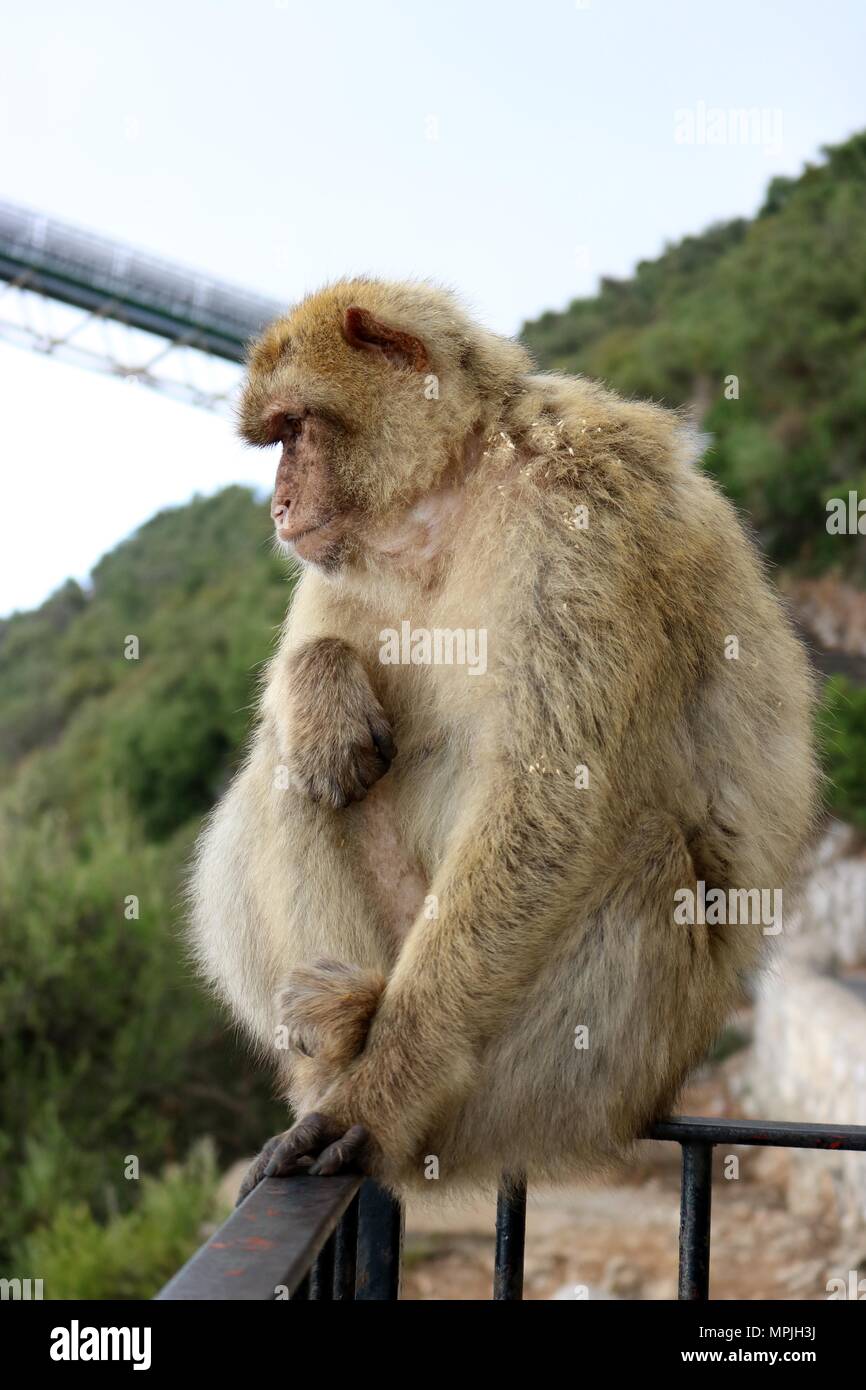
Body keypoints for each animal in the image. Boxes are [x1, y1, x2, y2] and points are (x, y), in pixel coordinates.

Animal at [187, 277, 818, 1202]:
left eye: (296, 429)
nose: (279, 506)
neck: (450, 495)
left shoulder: (583, 512)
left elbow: (549, 798)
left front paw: (385, 1090)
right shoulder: (342, 566)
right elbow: (312, 678)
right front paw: (319, 686)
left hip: (570, 1079)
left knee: (641, 850)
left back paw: (365, 1059)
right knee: (294, 767)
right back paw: (336, 1039)